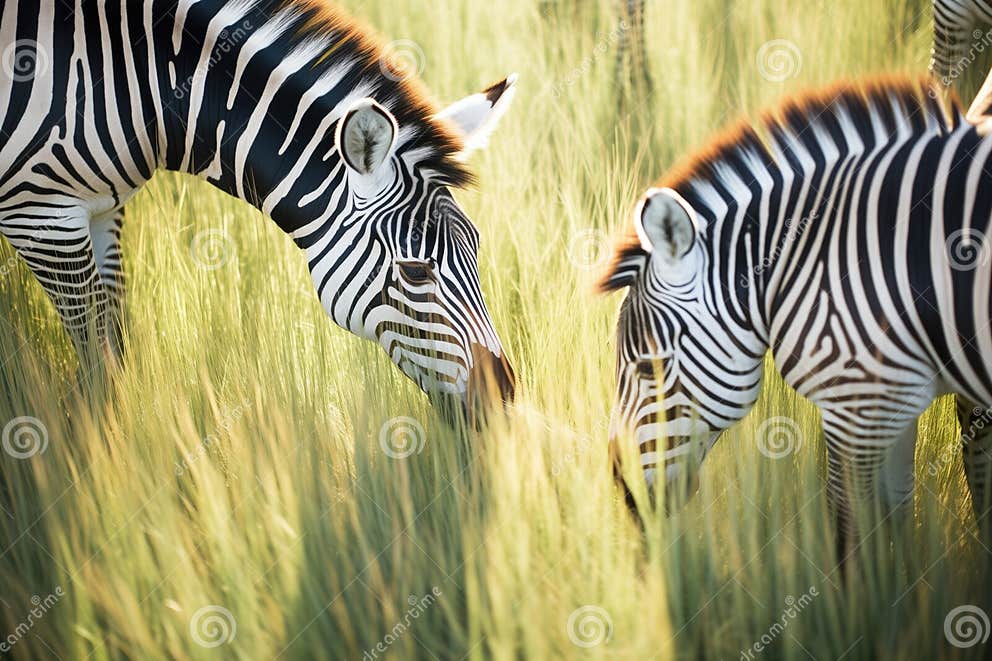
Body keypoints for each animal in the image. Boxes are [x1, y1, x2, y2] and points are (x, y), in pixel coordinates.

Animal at [0, 0, 517, 420]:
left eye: (476, 250)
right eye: (414, 272)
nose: (503, 400)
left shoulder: (104, 212)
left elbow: (115, 341)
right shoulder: (42, 218)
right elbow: (99, 366)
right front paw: (103, 462)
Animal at [599, 76, 992, 555]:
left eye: (648, 368)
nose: (625, 491)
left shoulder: (857, 401)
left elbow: (847, 524)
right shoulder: (894, 397)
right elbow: (894, 511)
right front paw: (895, 576)